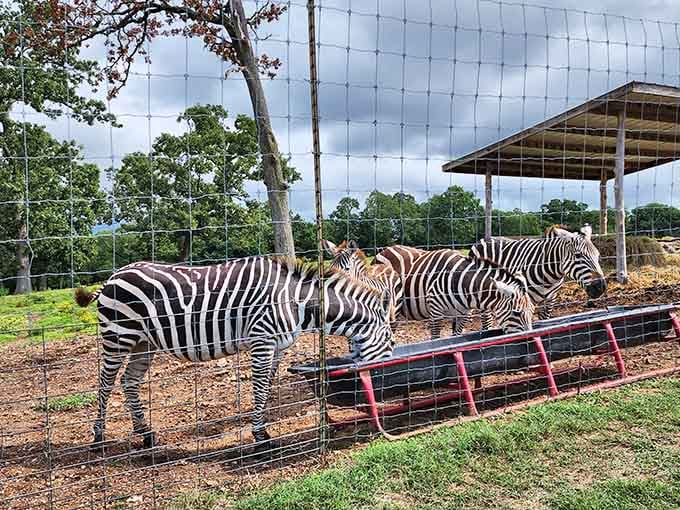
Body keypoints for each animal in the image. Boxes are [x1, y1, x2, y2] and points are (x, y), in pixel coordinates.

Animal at [75, 257, 394, 450]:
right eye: (390, 339)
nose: (384, 379)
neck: (298, 303)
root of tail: (112, 277)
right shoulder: (262, 340)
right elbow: (260, 387)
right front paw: (260, 439)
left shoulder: (277, 347)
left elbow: (267, 388)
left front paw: (261, 431)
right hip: (119, 336)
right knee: (105, 383)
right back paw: (98, 438)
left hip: (144, 342)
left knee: (129, 382)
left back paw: (146, 434)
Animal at [376, 246, 535, 338]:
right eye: (516, 313)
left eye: (532, 312)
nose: (530, 341)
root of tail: (384, 250)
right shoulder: (436, 312)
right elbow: (436, 339)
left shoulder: (463, 314)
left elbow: (456, 337)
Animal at [470, 224, 607, 323]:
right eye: (578, 256)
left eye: (598, 255)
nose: (601, 287)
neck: (550, 275)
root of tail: (484, 239)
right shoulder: (524, 299)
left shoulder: (551, 299)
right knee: (486, 322)